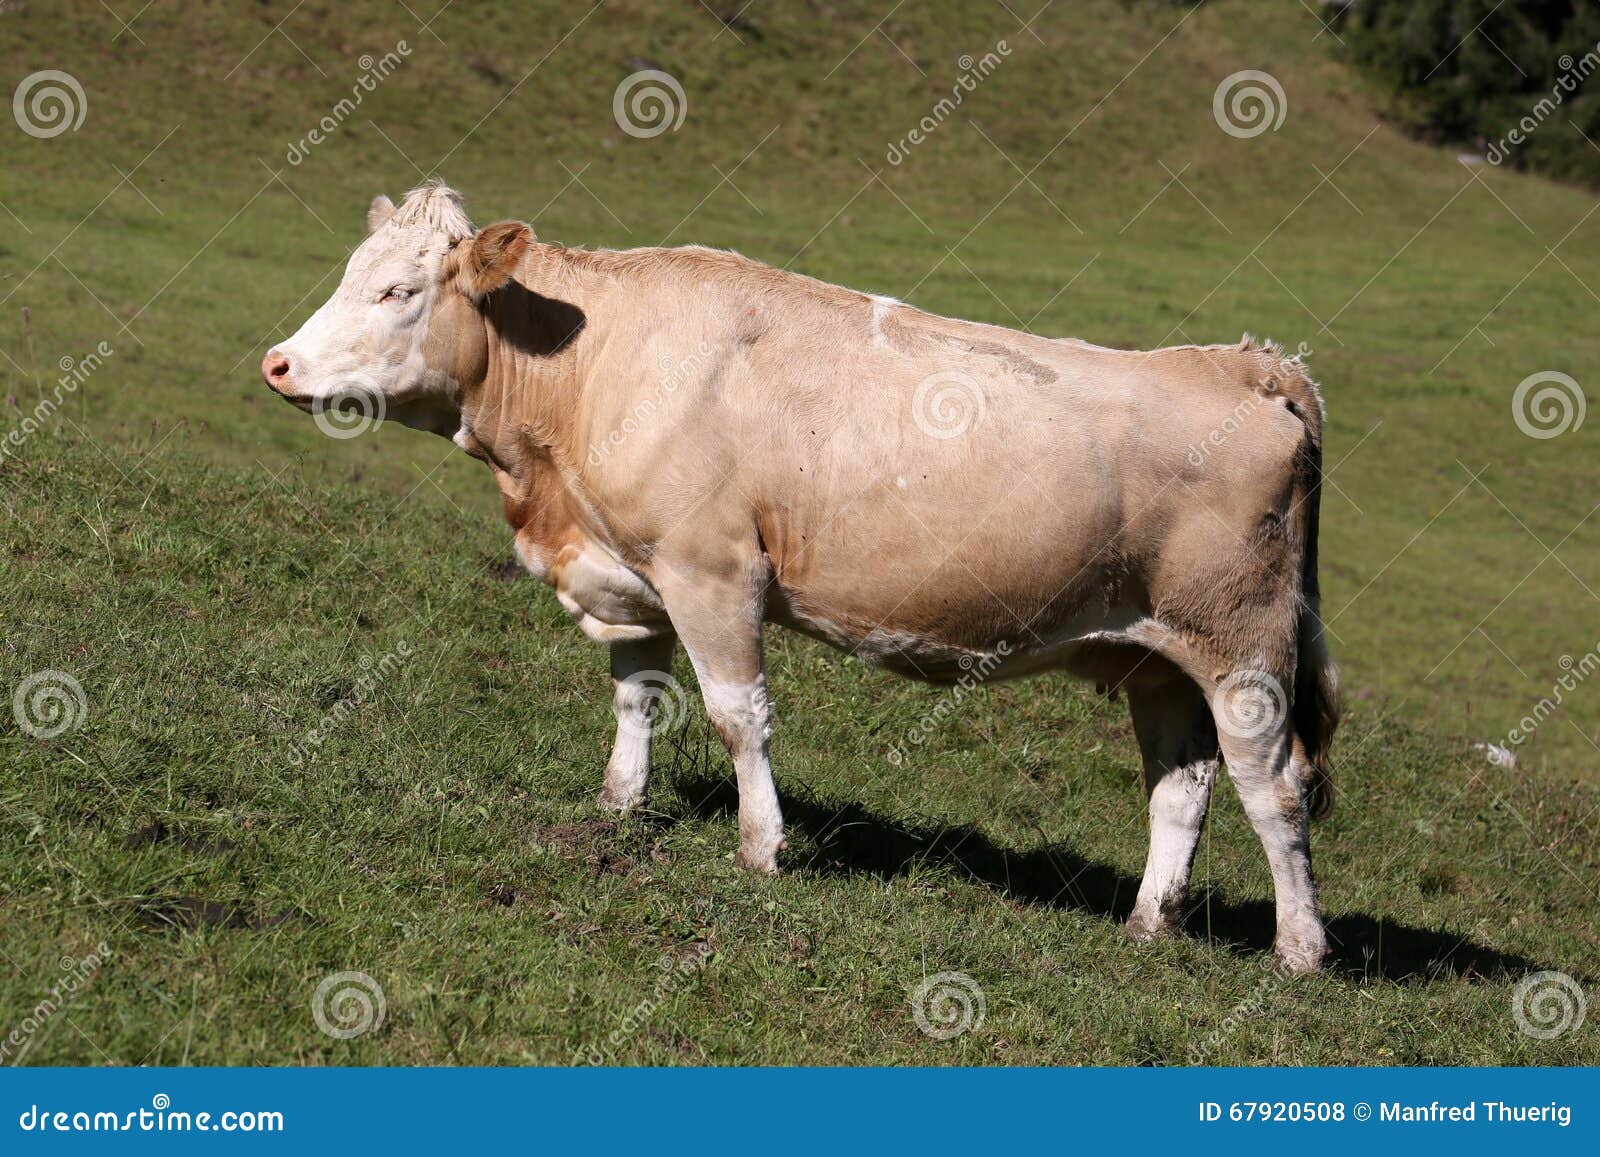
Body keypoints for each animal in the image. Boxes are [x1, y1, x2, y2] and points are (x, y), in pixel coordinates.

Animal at [261, 183, 1340, 972]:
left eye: (399, 292)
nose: (278, 363)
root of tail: (1244, 364)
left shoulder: (714, 569)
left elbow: (738, 716)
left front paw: (761, 846)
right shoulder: (631, 570)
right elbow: (636, 693)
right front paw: (618, 803)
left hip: (1244, 645)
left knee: (1272, 785)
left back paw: (1297, 951)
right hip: (1157, 656)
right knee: (1183, 787)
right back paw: (1148, 924)